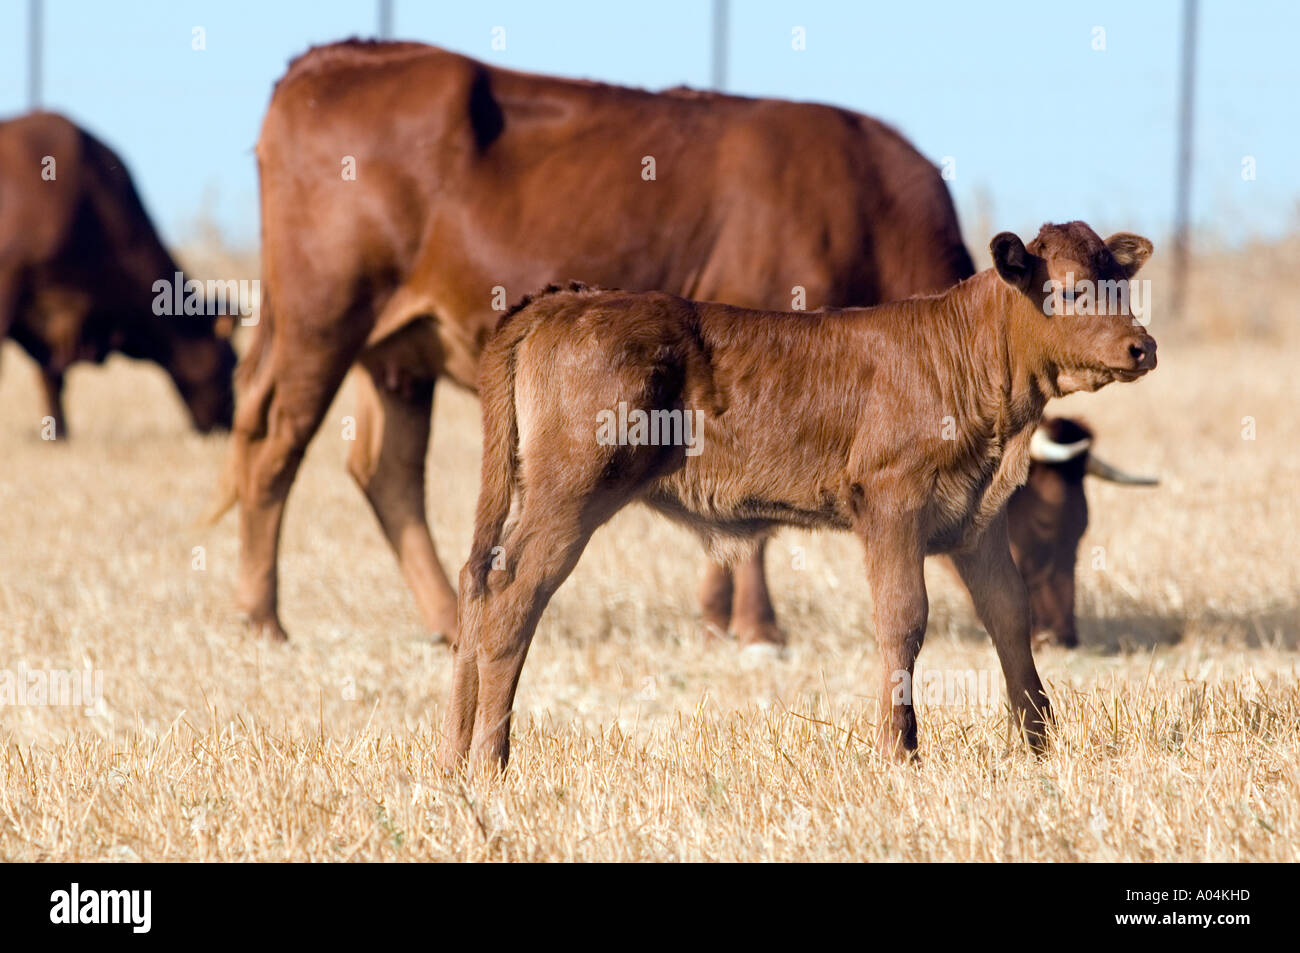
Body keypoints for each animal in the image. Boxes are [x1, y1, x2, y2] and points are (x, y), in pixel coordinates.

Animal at [207, 39, 976, 645]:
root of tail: (332, 57)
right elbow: (759, 523)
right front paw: (758, 627)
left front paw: (720, 615)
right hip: (321, 323)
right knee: (273, 452)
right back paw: (263, 618)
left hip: (395, 352)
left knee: (385, 471)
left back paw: (448, 620)